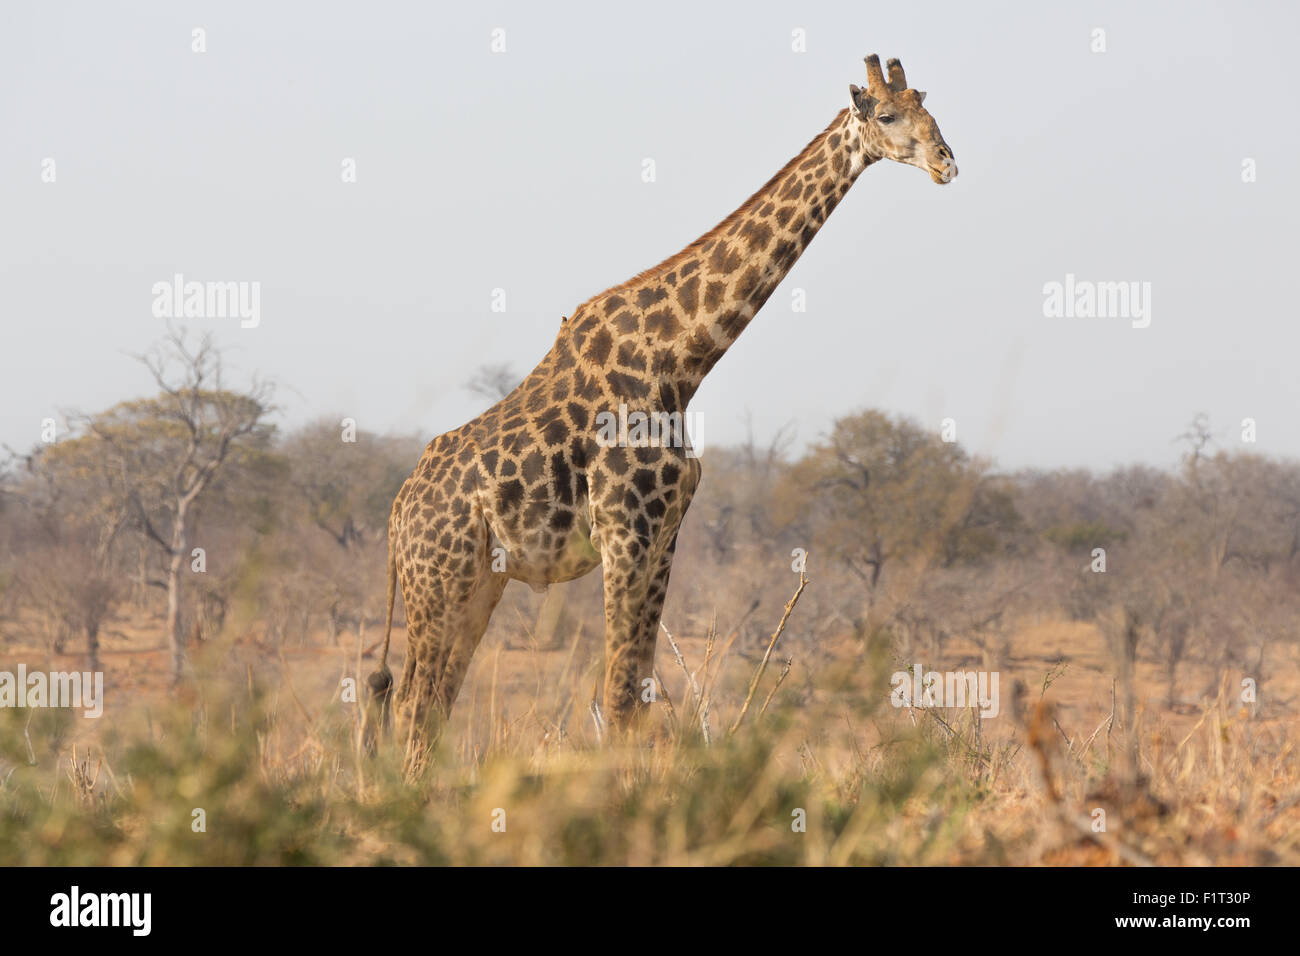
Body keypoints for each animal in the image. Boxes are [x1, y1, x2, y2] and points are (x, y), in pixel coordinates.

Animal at [364, 54, 957, 752]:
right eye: (887, 115)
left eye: (930, 110)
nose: (947, 161)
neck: (683, 358)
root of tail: (397, 515)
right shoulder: (626, 531)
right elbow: (619, 698)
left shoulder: (666, 533)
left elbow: (637, 699)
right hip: (438, 580)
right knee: (413, 703)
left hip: (482, 581)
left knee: (432, 704)